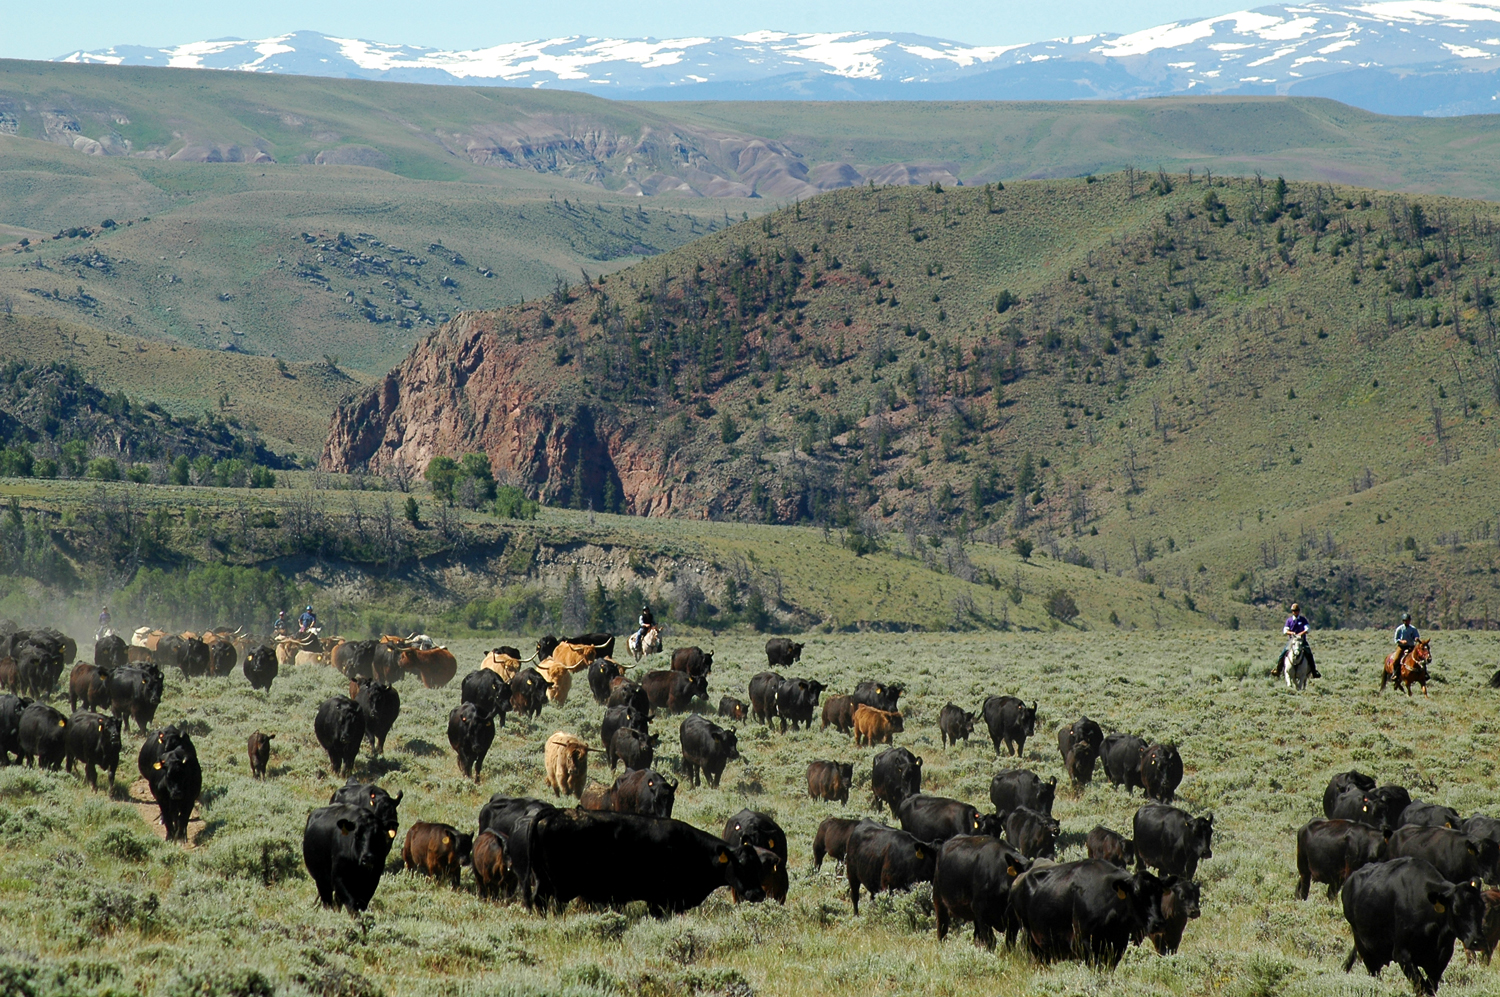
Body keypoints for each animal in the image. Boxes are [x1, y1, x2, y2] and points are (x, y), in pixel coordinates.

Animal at [522, 810, 765, 916]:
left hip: (543, 881)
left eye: (758, 866)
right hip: (558, 886)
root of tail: (551, 814)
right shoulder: (662, 900)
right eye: (741, 864)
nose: (758, 893)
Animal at [1007, 859, 1166, 967]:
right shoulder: (1085, 943)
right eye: (1137, 894)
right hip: (1031, 939)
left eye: (1161, 893)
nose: (1158, 923)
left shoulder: (1117, 945)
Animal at [1341, 856, 1486, 994]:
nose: (1477, 940)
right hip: (1365, 951)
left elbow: (1430, 987)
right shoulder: (1402, 953)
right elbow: (1420, 987)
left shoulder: (1442, 956)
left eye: (1482, 908)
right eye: (1456, 910)